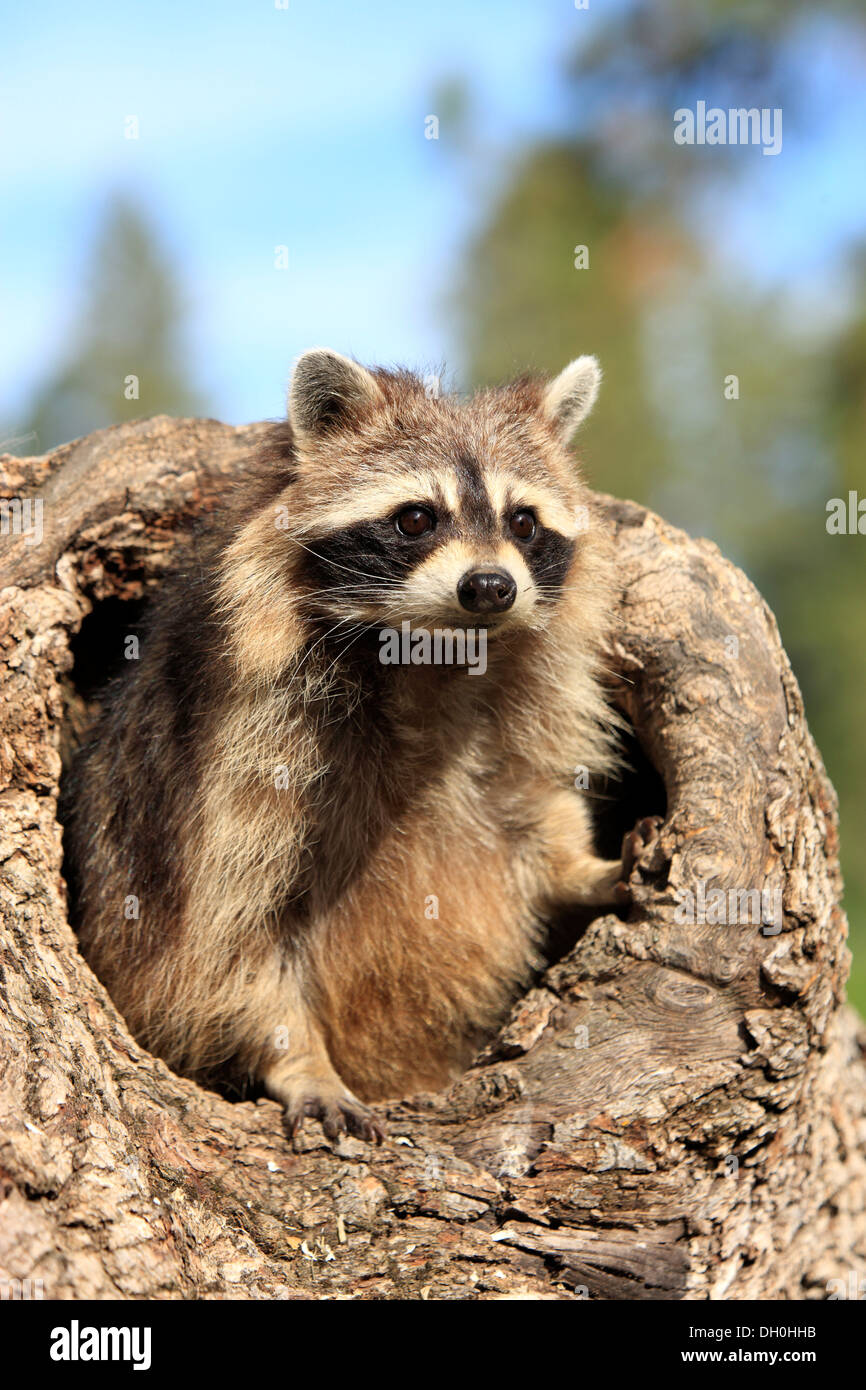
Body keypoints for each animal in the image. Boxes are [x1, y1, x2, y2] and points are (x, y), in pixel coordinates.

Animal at [64, 349, 632, 1144]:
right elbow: (223, 932)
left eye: (523, 522)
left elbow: (532, 806)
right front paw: (296, 1056)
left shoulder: (517, 709)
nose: (490, 587)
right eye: (416, 518)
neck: (435, 657)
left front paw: (585, 868)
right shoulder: (237, 745)